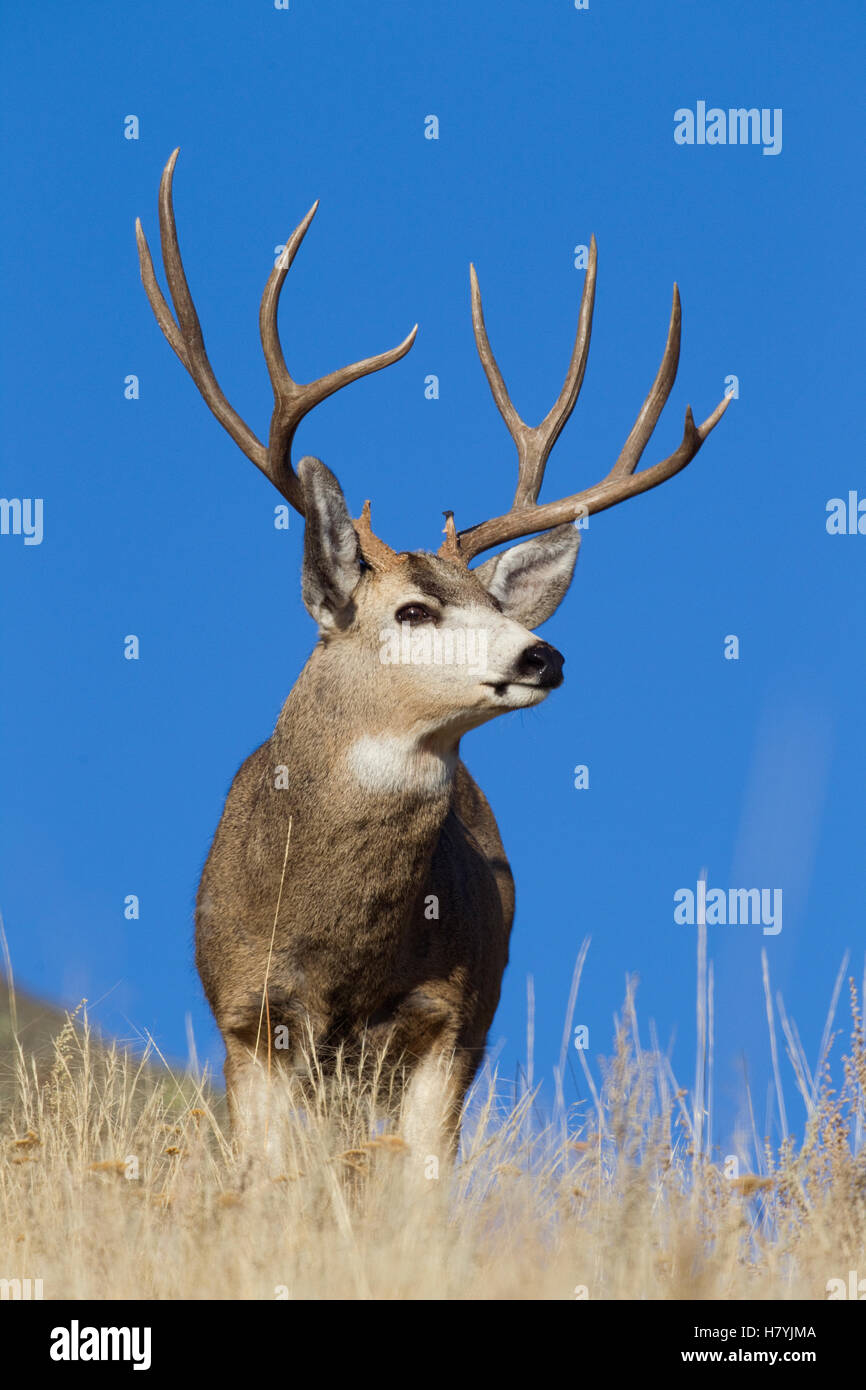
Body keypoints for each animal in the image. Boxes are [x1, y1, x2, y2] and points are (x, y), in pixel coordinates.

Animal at [136, 151, 729, 1170]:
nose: (543, 654)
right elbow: (269, 1182)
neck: (339, 949)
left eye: (495, 604)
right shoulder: (250, 1018)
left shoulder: (451, 1021)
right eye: (412, 610)